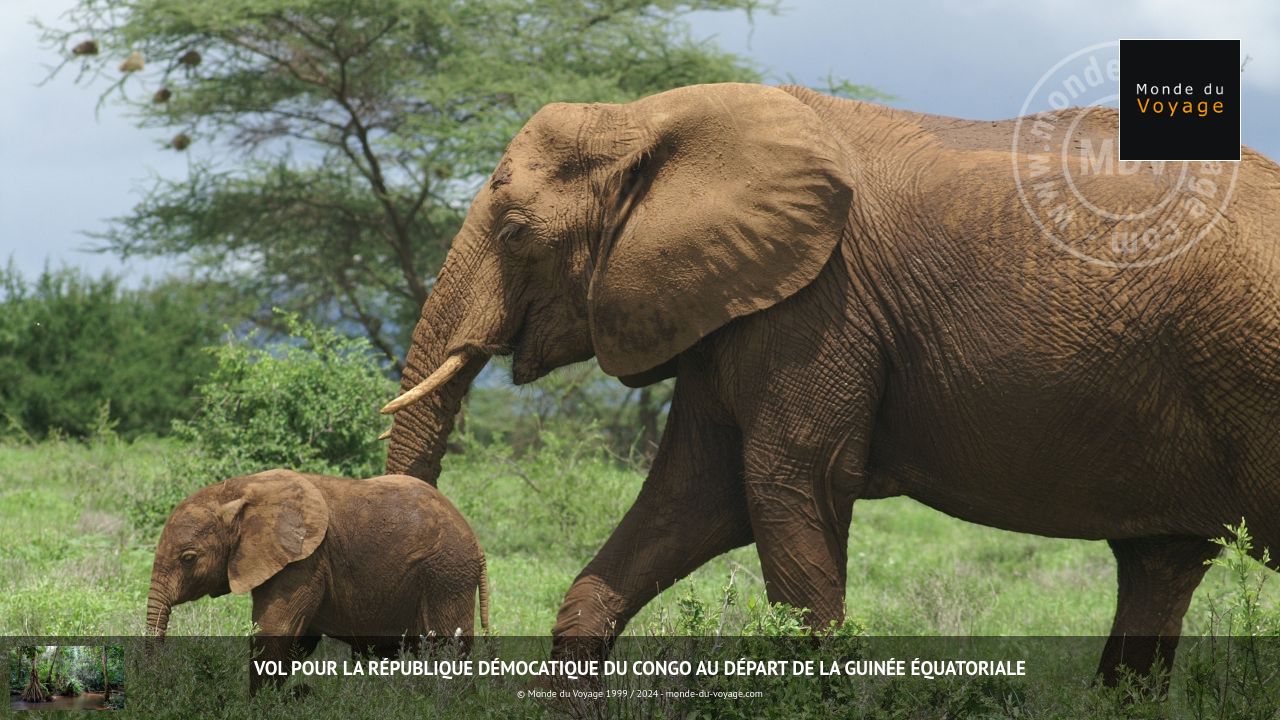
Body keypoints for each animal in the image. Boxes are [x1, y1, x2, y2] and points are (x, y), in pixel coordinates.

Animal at [146, 468, 488, 686]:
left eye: (188, 559)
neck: (239, 490)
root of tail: (477, 542)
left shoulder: (304, 562)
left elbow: (275, 632)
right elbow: (297, 642)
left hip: (446, 575)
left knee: (447, 649)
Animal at [378, 81, 1280, 681]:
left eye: (515, 232)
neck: (646, 118)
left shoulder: (817, 306)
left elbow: (788, 486)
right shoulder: (736, 303)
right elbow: (697, 498)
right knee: (1158, 569)